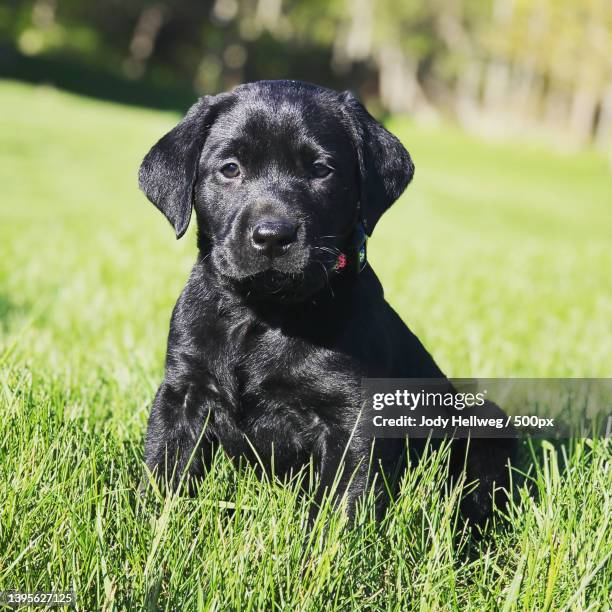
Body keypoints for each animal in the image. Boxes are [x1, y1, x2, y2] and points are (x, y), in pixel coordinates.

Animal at [140, 79, 516, 524]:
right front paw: (152, 525)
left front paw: (321, 543)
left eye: (321, 170)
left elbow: (338, 504)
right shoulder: (183, 391)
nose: (273, 236)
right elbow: (164, 470)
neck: (265, 314)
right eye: (230, 168)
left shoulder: (352, 415)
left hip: (486, 421)